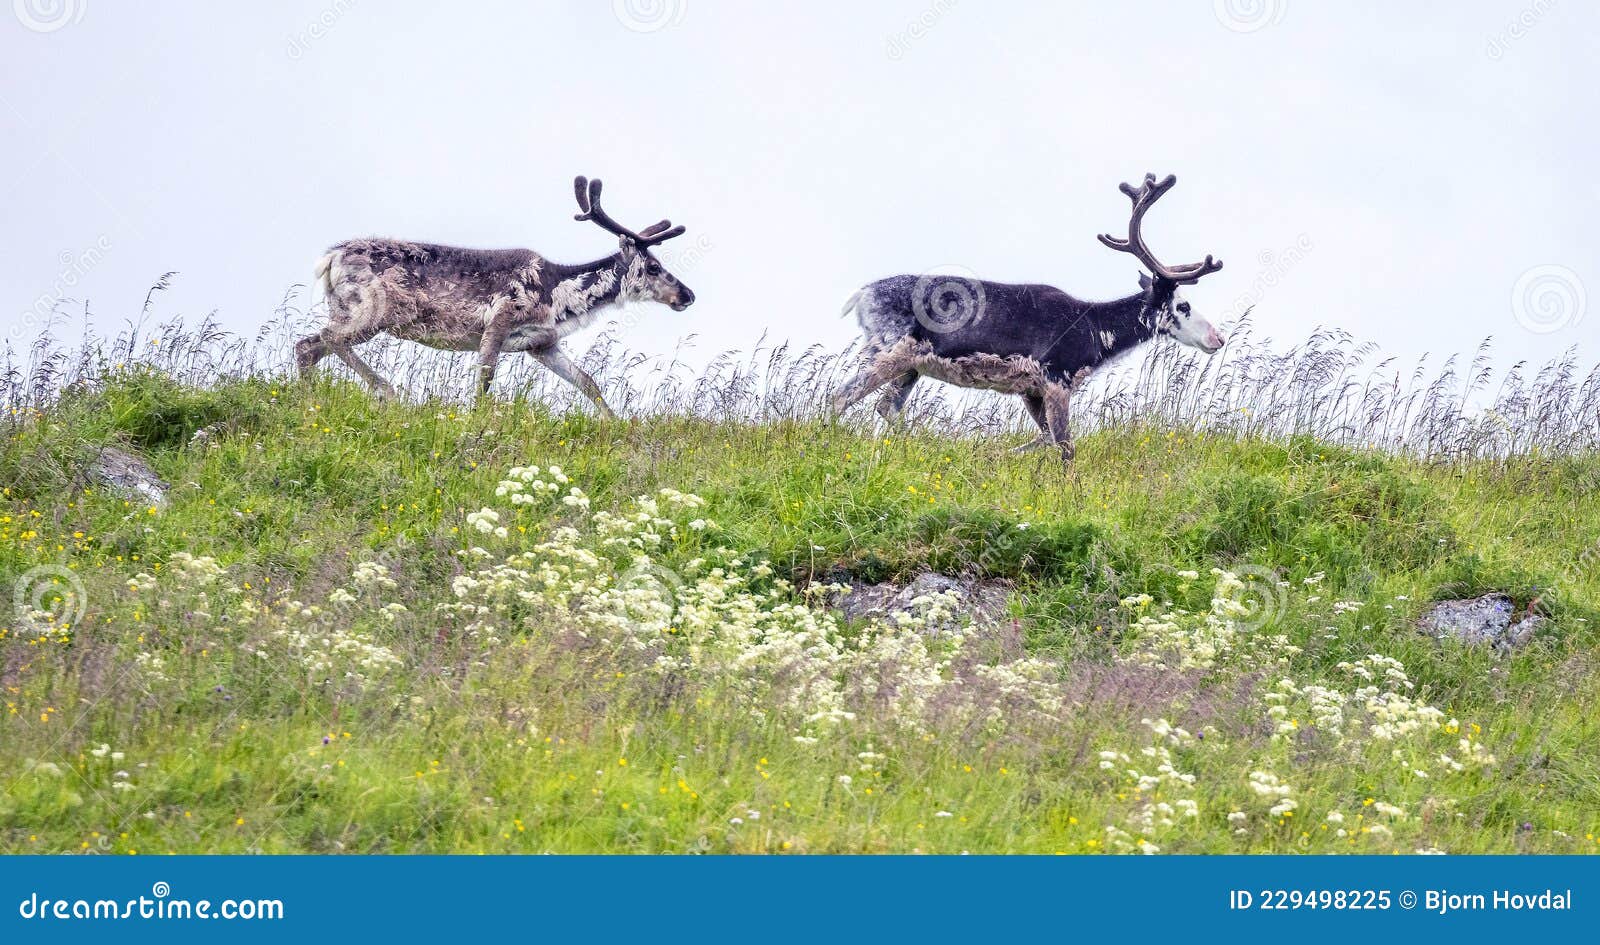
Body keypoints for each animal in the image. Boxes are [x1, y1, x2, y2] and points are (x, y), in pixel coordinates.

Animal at [295, 176, 694, 415]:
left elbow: (587, 381)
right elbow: (484, 381)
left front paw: (615, 422)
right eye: (654, 266)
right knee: (324, 340)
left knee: (308, 346)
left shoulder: (542, 344)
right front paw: (477, 420)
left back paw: (310, 399)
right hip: (373, 312)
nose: (687, 294)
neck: (558, 298)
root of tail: (329, 258)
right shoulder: (498, 323)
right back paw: (386, 391)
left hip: (345, 311)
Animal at [831, 173, 1225, 463]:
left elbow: (1045, 437)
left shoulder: (1030, 389)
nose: (1218, 338)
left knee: (885, 407)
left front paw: (999, 455)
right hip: (888, 349)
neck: (1094, 332)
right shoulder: (1056, 378)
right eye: (1184, 306)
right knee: (841, 394)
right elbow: (1066, 446)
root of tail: (861, 296)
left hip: (911, 365)